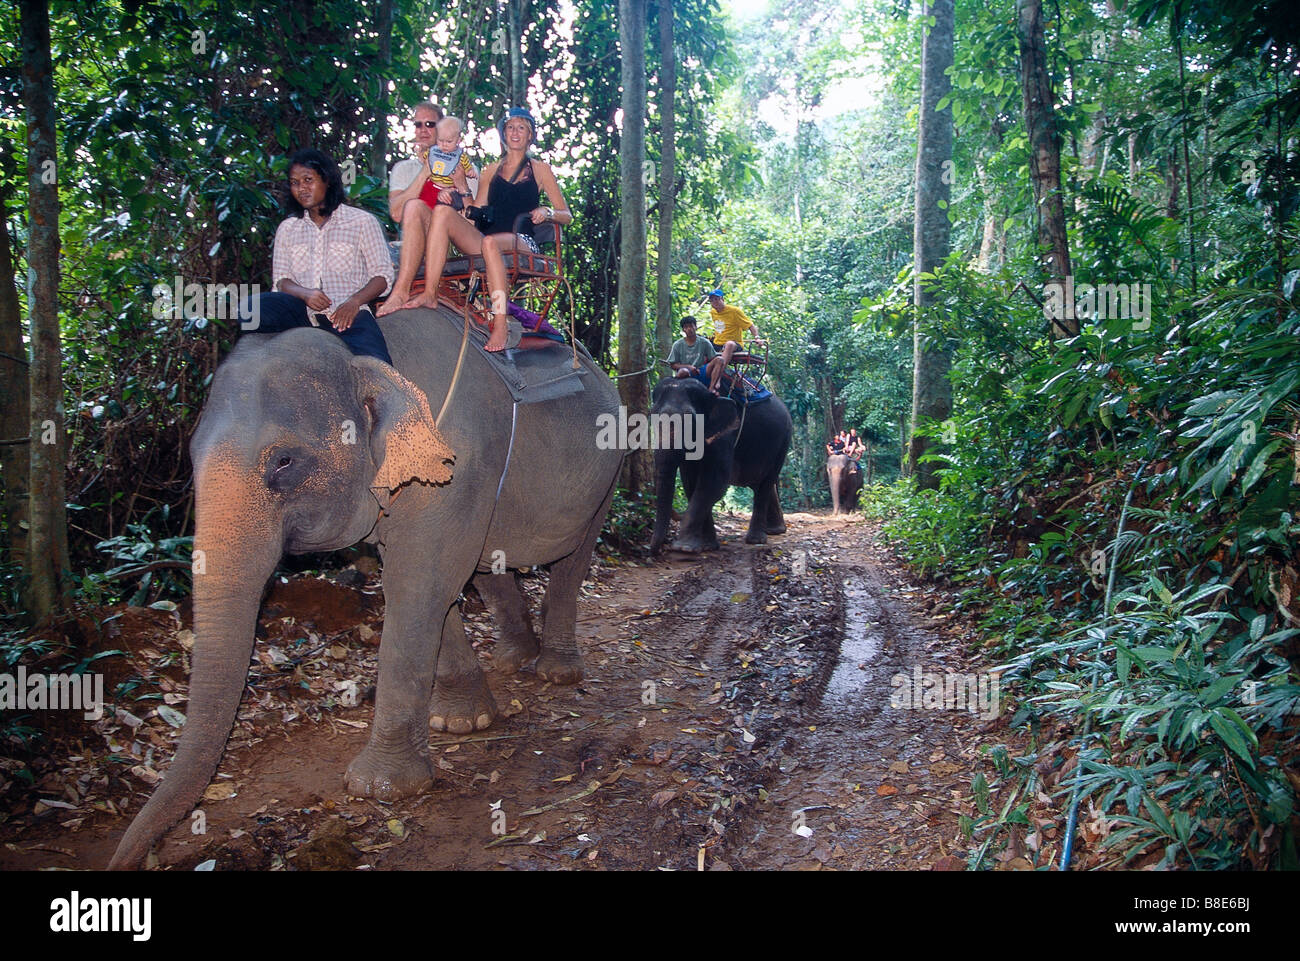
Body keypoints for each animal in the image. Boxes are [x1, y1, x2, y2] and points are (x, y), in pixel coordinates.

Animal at [108, 310, 623, 869]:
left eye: (283, 462)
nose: (130, 859)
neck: (363, 356)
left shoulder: (457, 464)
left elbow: (420, 583)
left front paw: (380, 787)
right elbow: (427, 582)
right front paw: (460, 724)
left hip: (609, 465)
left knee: (574, 557)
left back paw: (555, 672)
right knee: (489, 560)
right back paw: (513, 661)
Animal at [648, 376, 792, 553]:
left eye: (690, 420)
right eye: (651, 417)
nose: (655, 550)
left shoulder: (725, 436)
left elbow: (714, 482)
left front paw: (684, 547)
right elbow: (690, 482)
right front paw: (707, 546)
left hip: (784, 440)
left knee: (766, 482)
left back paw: (756, 539)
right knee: (761, 483)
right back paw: (775, 530)